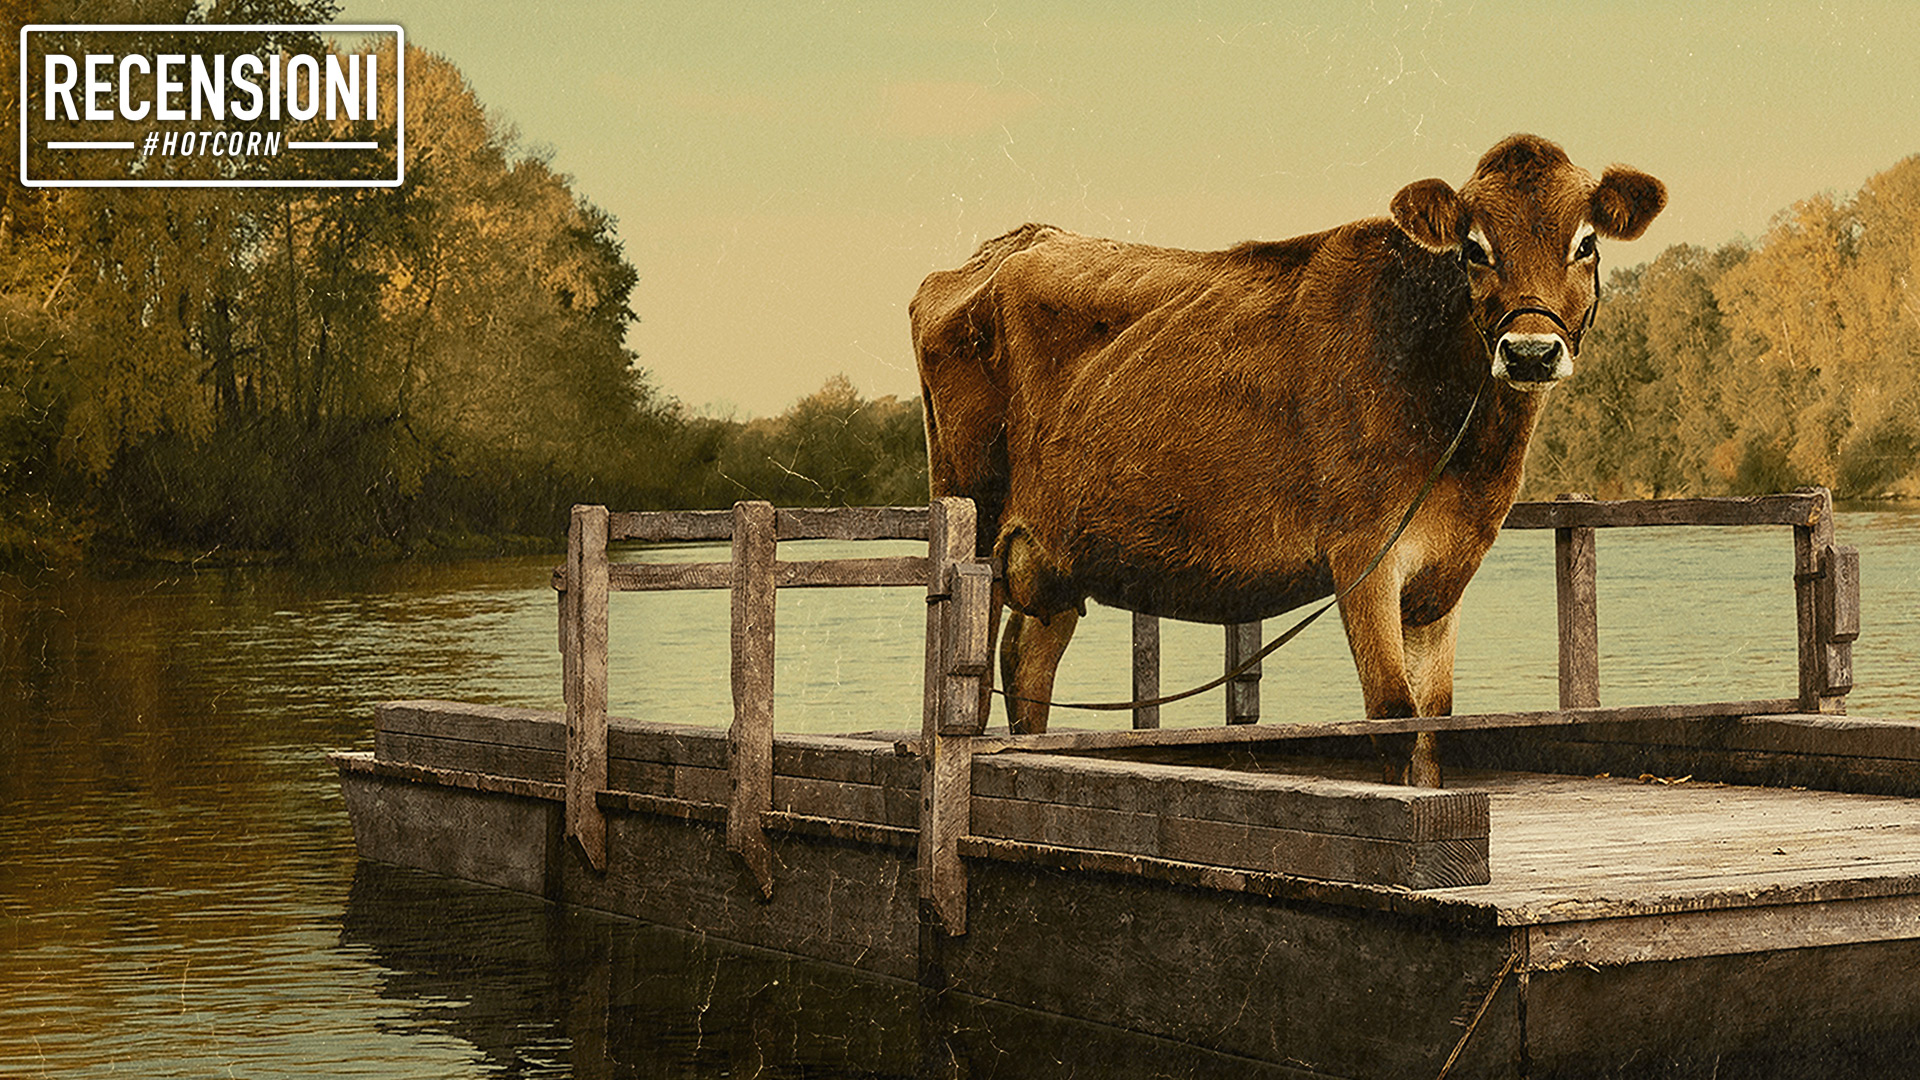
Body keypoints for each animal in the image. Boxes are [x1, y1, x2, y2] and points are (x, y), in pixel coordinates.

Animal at [909, 134, 1665, 785]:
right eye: (1474, 248)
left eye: (1586, 243)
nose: (1530, 352)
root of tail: (1008, 245)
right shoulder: (1365, 554)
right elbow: (1392, 717)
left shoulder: (1443, 574)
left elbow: (1434, 726)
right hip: (976, 521)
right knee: (970, 683)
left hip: (1057, 553)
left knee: (1027, 665)